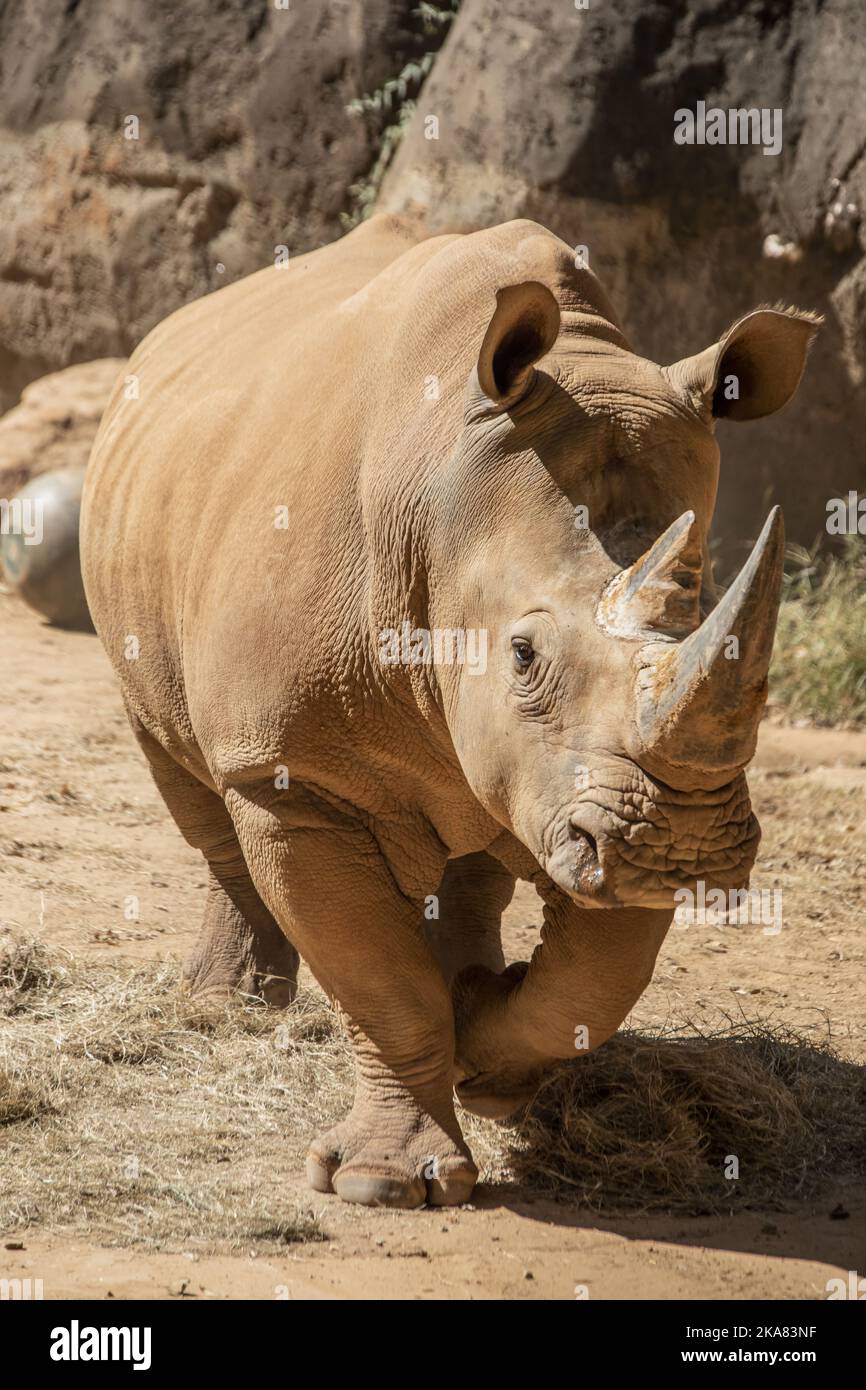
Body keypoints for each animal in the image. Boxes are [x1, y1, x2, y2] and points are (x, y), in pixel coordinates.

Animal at [80, 215, 817, 1208]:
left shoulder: (590, 794)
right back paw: (228, 1005)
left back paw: (464, 989)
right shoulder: (290, 769)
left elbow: (593, 981)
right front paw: (384, 1185)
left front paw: (488, 1051)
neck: (439, 496)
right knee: (184, 771)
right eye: (524, 656)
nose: (686, 855)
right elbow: (381, 981)